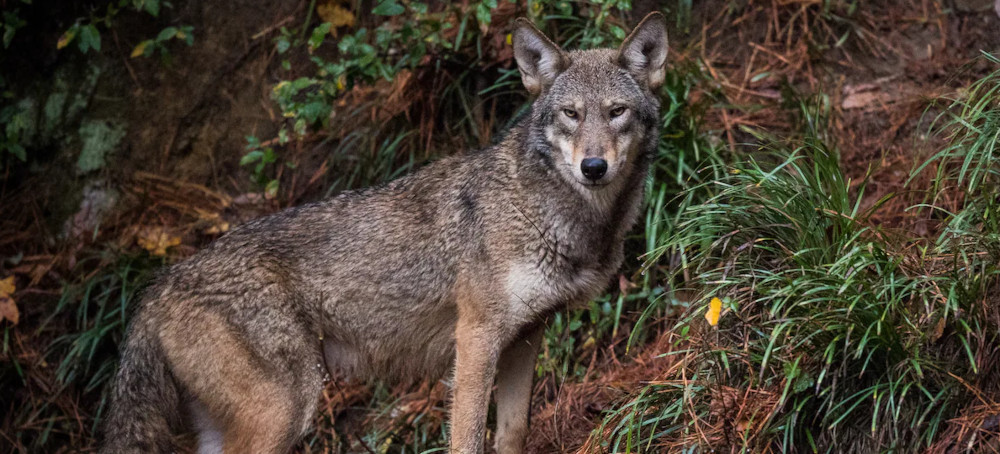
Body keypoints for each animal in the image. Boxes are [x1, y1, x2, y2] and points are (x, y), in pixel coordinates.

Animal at [100, 12, 668, 454]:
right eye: (571, 114)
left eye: (616, 112)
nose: (593, 167)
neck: (550, 212)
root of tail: (155, 290)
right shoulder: (476, 338)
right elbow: (467, 438)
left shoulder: (526, 338)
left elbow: (511, 434)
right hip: (286, 409)